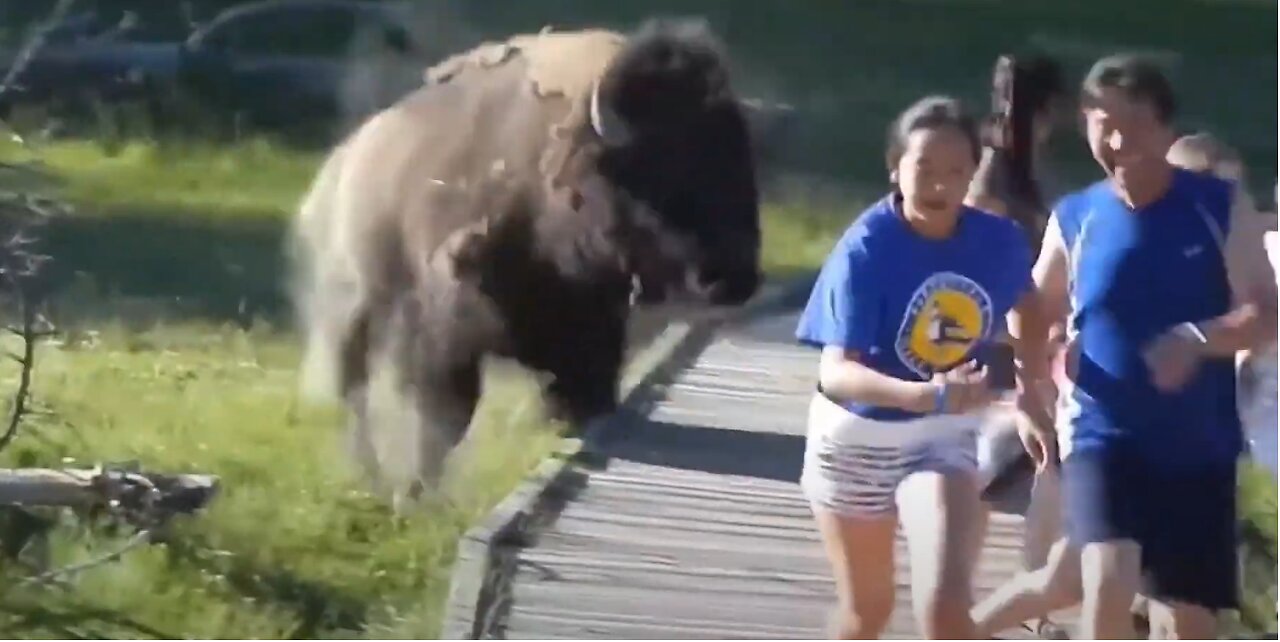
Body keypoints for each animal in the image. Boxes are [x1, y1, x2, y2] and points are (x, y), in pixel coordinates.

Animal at [288, 19, 763, 505]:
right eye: (661, 160)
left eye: (740, 152)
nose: (736, 277)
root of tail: (339, 165)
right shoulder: (450, 329)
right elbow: (445, 415)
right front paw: (418, 492)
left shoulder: (591, 330)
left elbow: (581, 396)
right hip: (354, 314)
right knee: (355, 392)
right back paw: (368, 474)